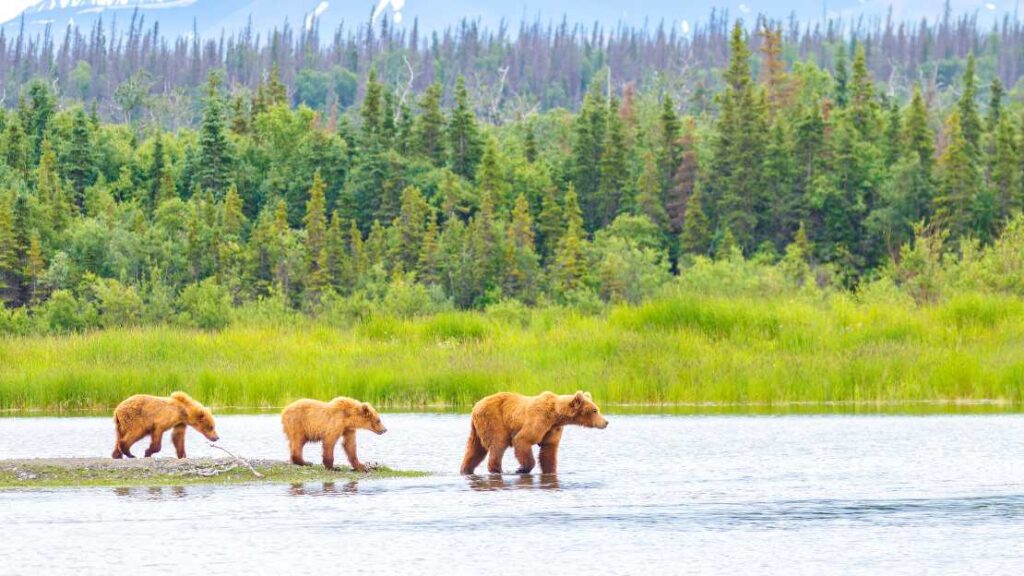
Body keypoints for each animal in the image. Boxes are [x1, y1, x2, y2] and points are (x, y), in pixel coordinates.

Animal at [460, 390, 608, 475]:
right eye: (595, 410)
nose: (606, 422)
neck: (556, 416)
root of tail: (475, 406)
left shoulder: (552, 429)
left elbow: (548, 452)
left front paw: (550, 471)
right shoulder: (539, 419)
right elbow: (523, 439)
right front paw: (521, 469)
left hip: (477, 427)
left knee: (475, 449)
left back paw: (466, 470)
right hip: (494, 419)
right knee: (498, 443)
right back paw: (497, 470)